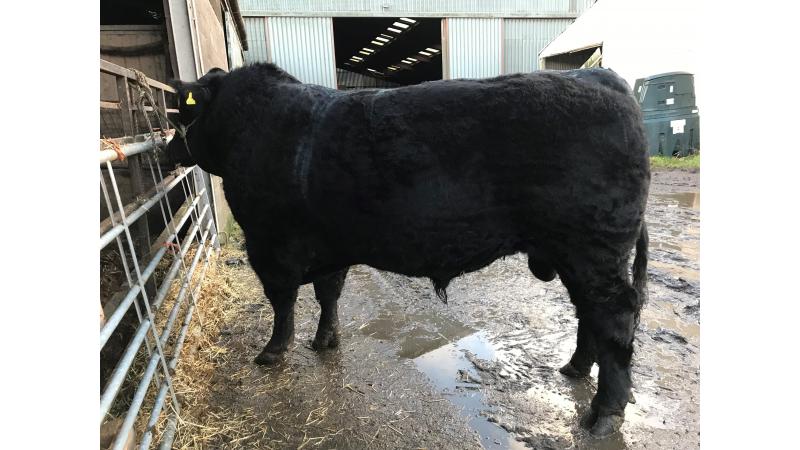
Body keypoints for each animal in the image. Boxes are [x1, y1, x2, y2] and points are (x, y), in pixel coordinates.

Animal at [166, 63, 650, 437]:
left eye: (182, 114)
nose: (169, 148)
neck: (253, 127)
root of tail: (601, 76)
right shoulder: (329, 245)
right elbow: (328, 293)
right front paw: (325, 340)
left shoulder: (270, 244)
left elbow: (282, 303)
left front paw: (272, 351)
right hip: (579, 254)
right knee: (590, 314)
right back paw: (574, 368)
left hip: (593, 247)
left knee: (614, 317)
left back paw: (604, 414)